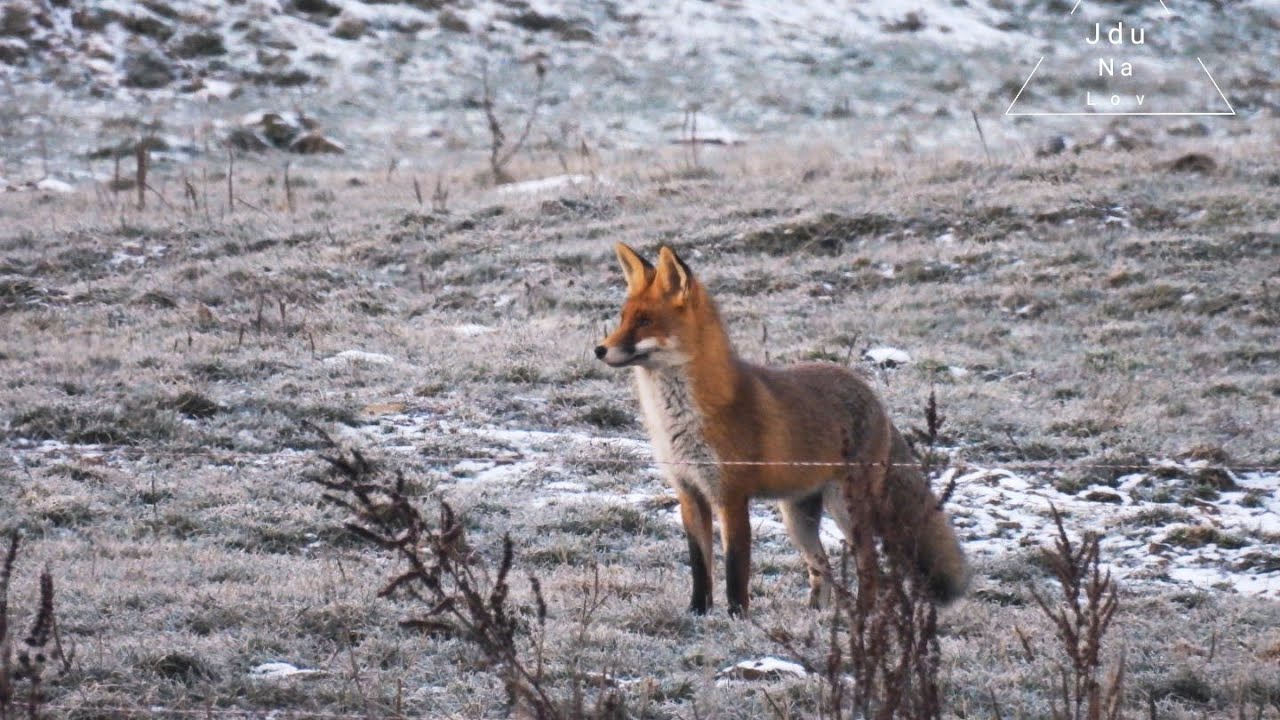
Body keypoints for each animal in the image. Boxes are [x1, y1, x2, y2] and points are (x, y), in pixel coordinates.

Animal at [594, 243, 969, 617]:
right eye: (623, 318)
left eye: (644, 322)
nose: (599, 349)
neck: (677, 420)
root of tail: (873, 396)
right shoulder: (690, 492)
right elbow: (700, 567)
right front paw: (697, 613)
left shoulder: (731, 495)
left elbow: (735, 569)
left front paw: (738, 618)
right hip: (797, 516)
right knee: (822, 567)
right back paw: (814, 617)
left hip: (844, 506)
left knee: (869, 562)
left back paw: (861, 614)